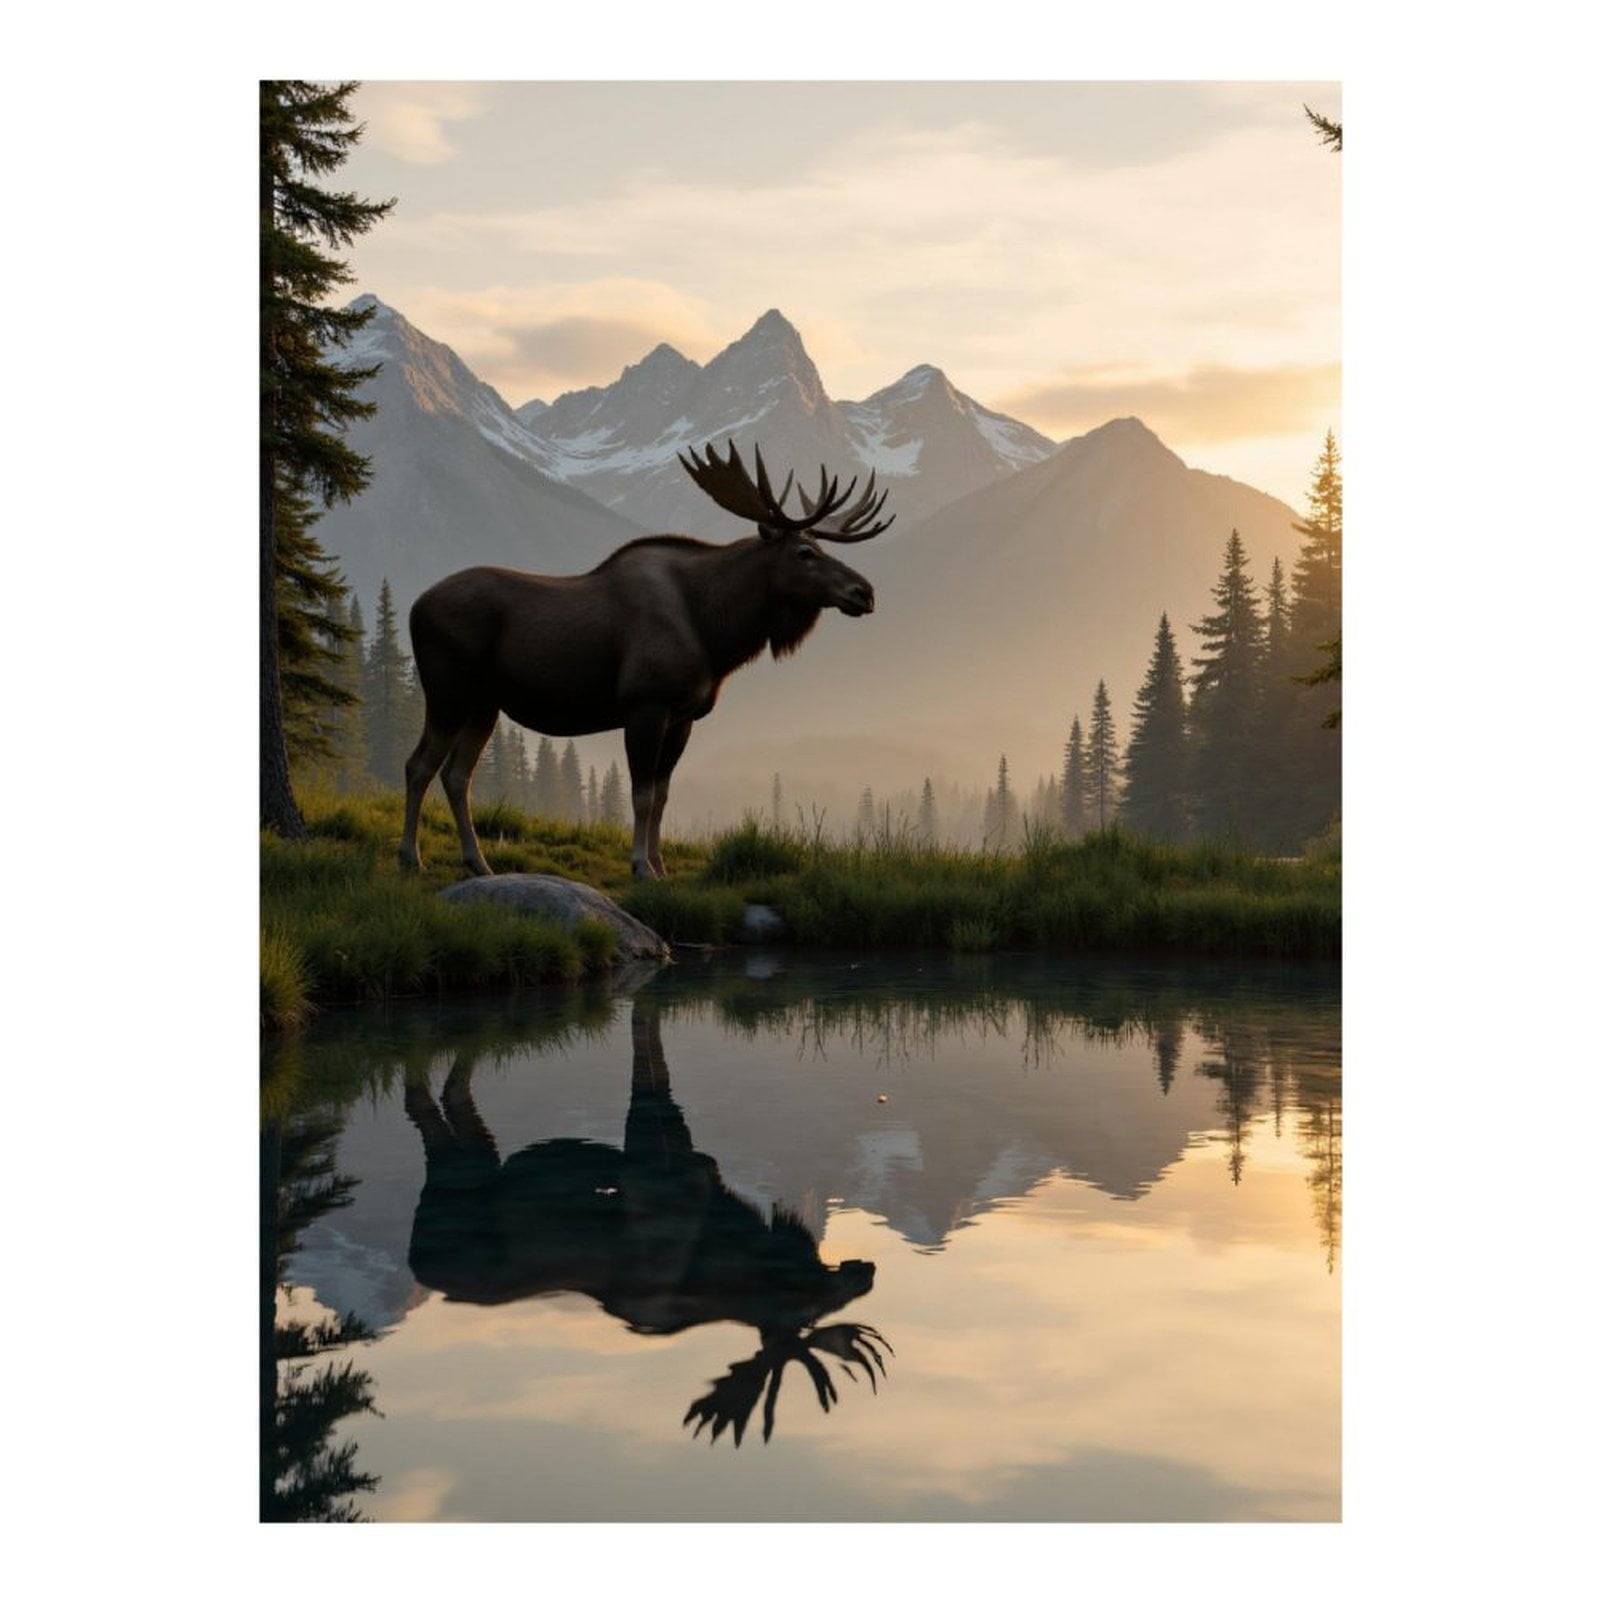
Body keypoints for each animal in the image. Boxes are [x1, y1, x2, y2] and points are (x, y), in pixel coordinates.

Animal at [398, 440, 894, 878]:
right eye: (804, 552)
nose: (865, 592)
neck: (714, 632)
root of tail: (414, 607)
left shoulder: (683, 716)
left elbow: (661, 795)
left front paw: (660, 866)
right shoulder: (646, 705)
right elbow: (639, 794)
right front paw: (639, 865)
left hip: (484, 704)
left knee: (456, 774)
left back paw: (478, 862)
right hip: (447, 690)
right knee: (419, 764)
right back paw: (411, 858)